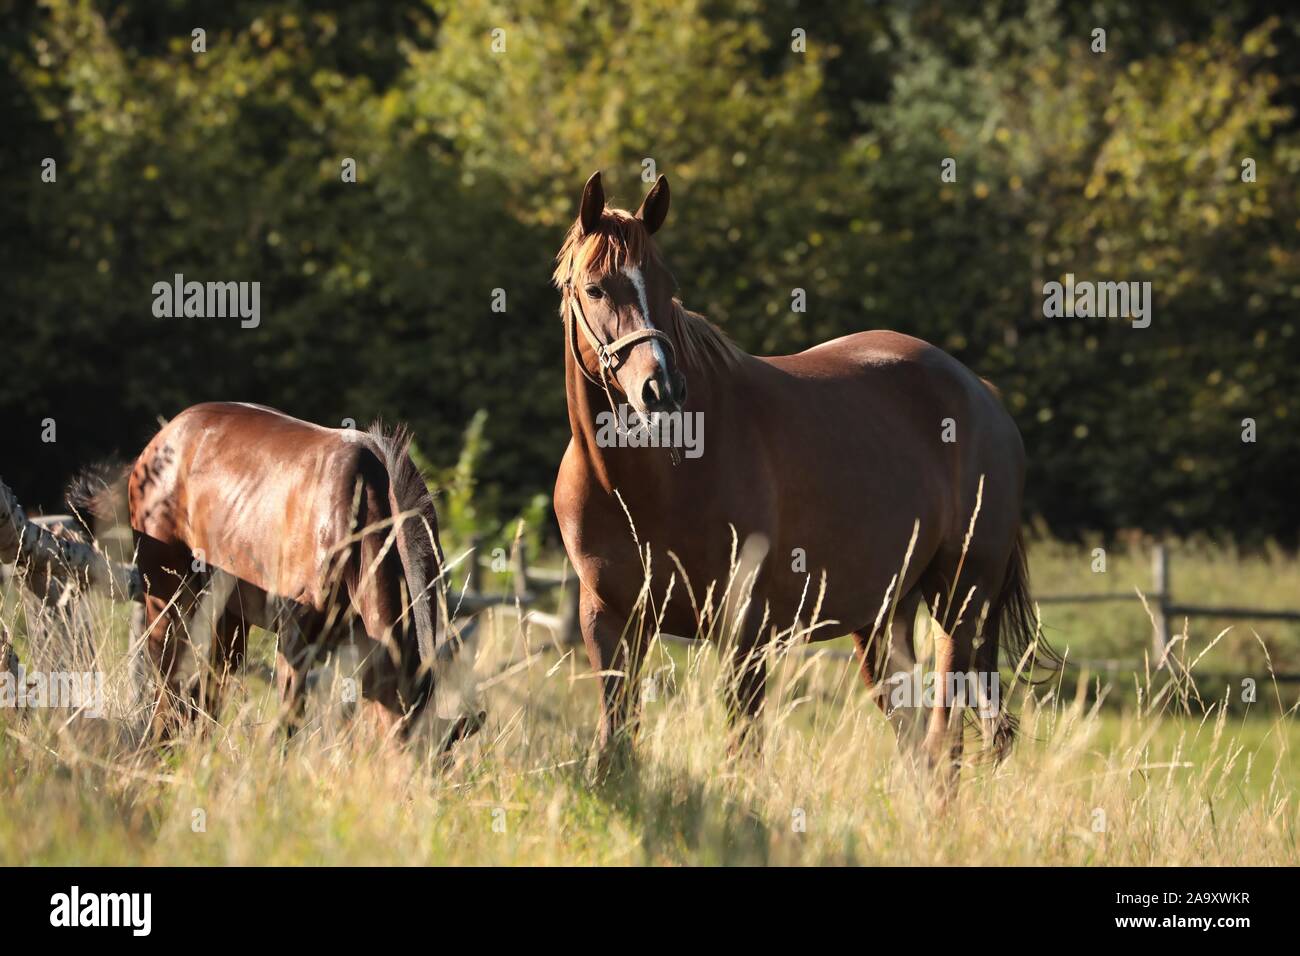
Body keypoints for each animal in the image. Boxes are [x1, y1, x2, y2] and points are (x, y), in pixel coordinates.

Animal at [97, 402, 478, 747]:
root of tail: (162, 438)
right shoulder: (295, 636)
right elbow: (287, 724)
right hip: (166, 595)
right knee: (167, 678)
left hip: (229, 614)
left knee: (207, 687)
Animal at [552, 171, 1048, 781]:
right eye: (595, 288)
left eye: (668, 285)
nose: (661, 391)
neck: (646, 482)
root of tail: (984, 394)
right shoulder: (609, 620)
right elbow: (614, 744)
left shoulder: (746, 628)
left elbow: (743, 752)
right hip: (885, 618)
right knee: (915, 740)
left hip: (962, 599)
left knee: (943, 742)